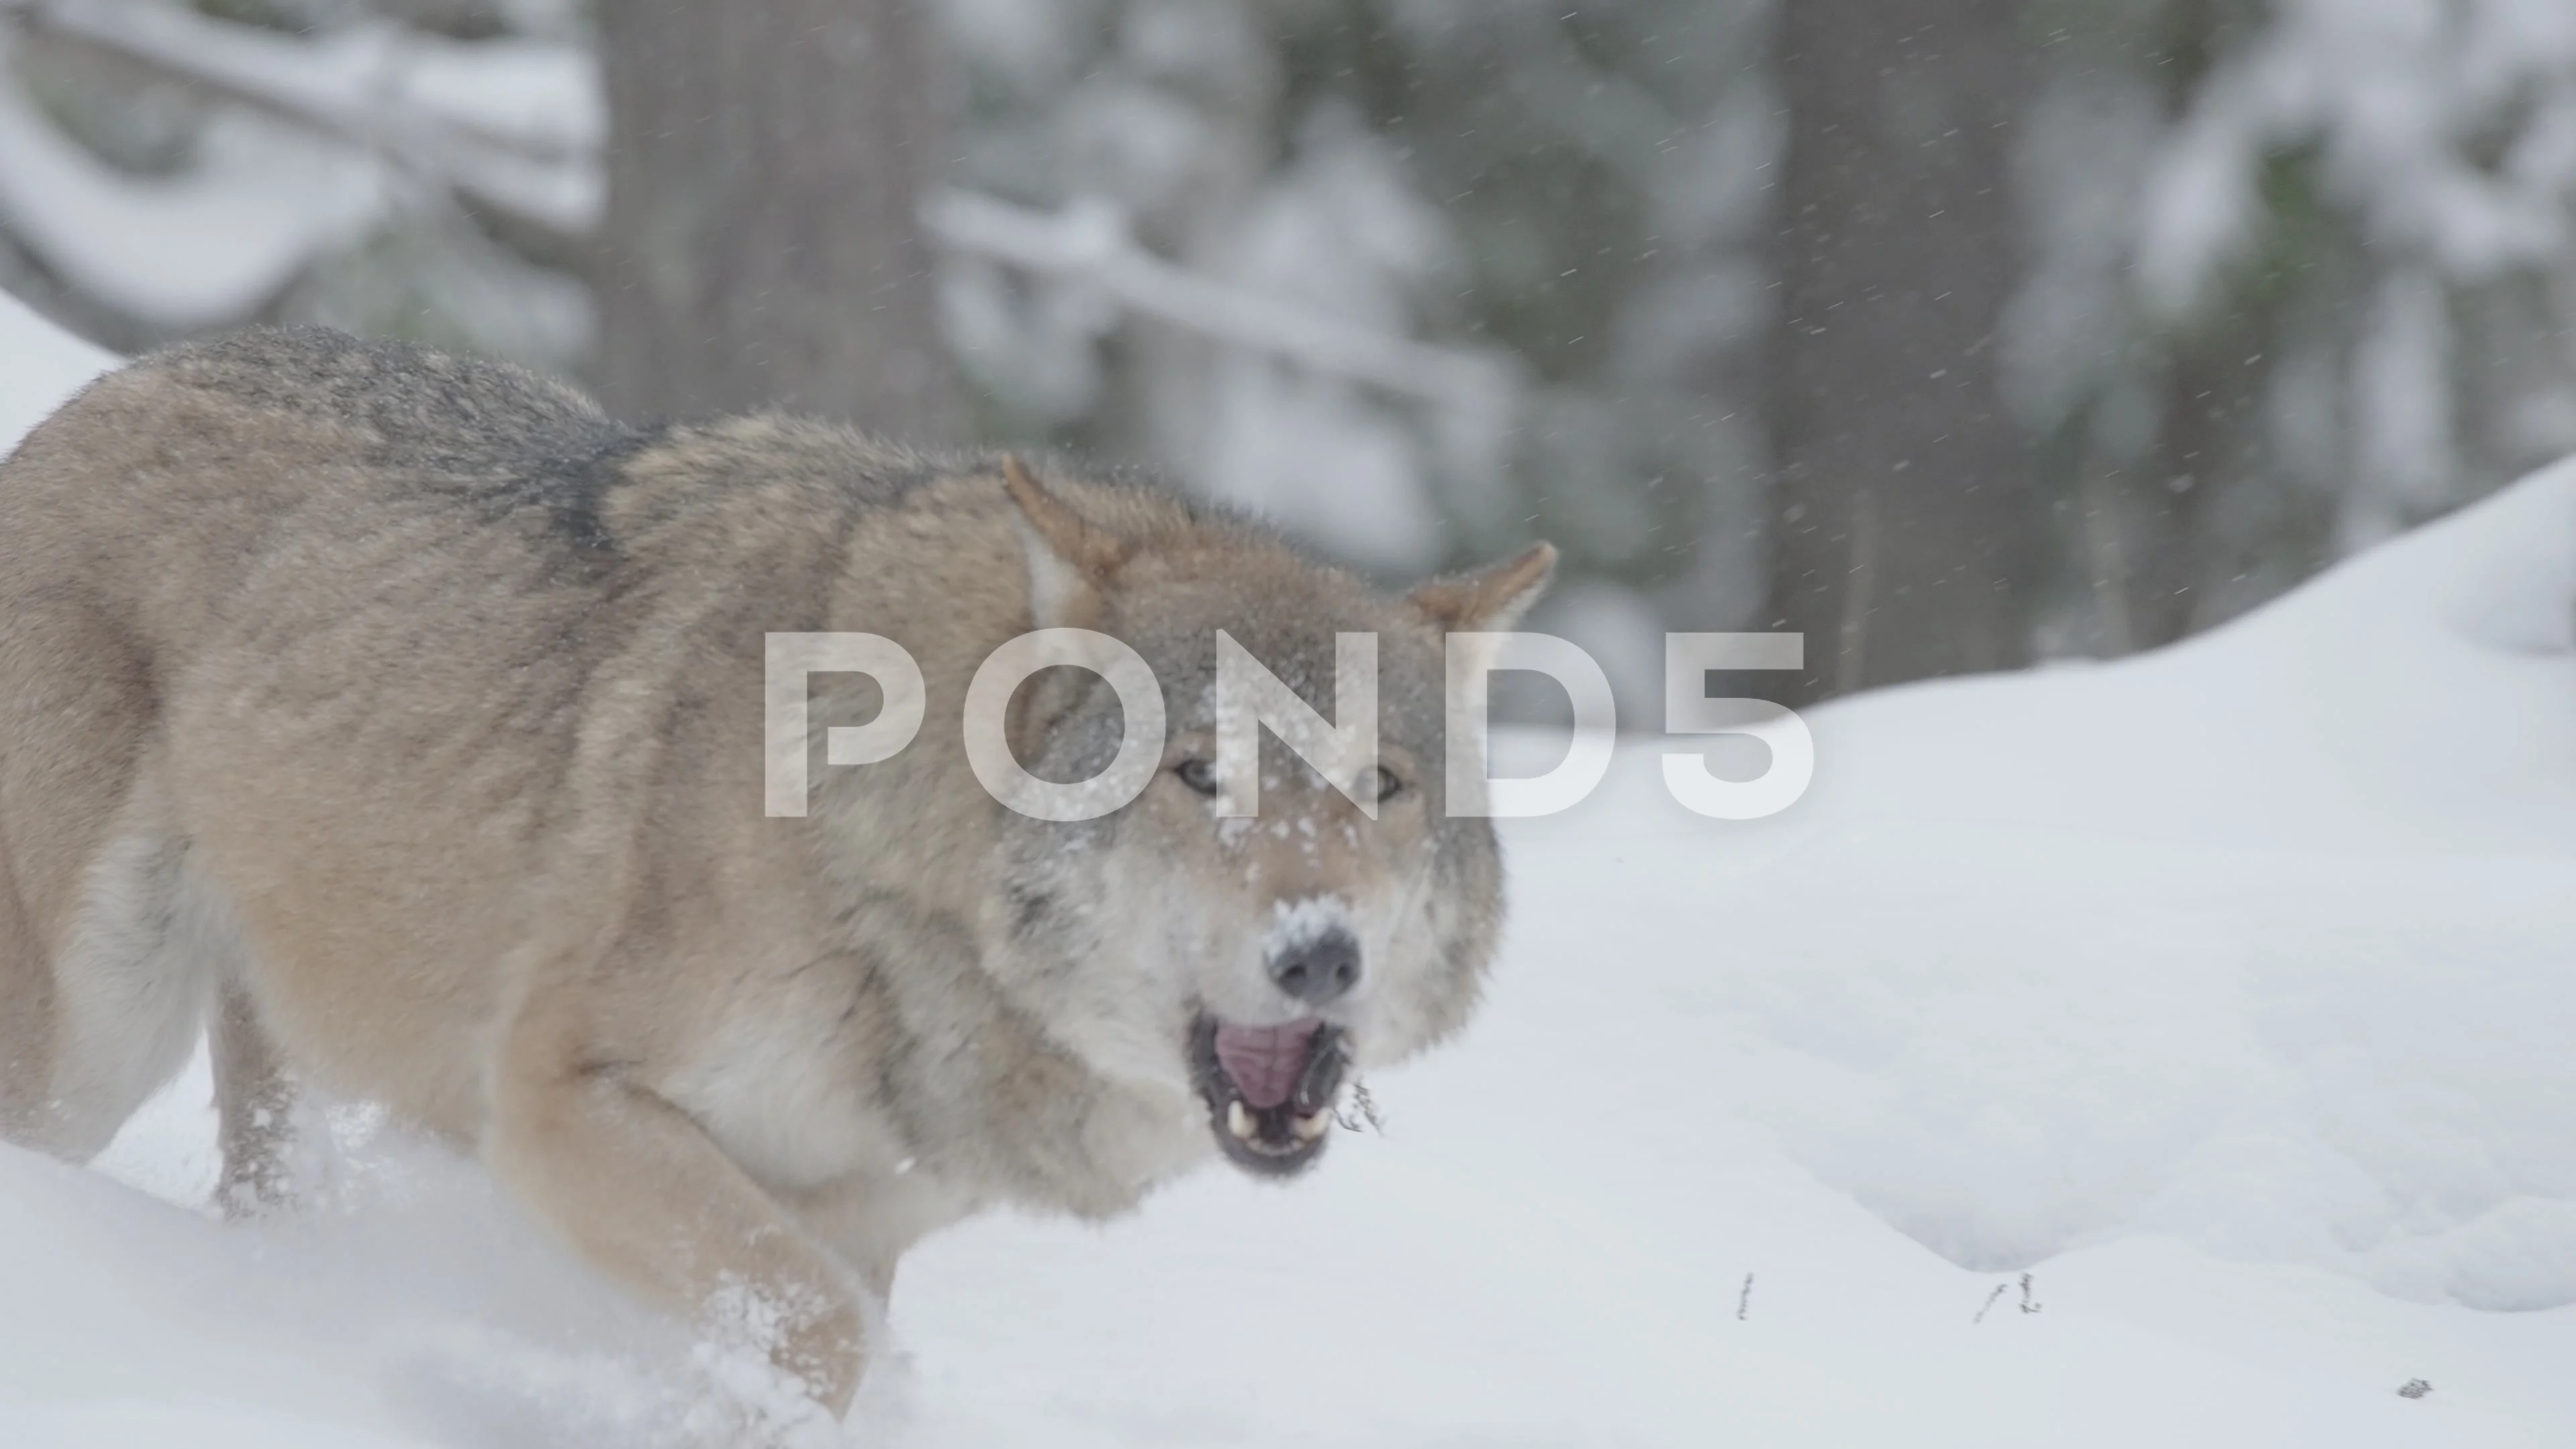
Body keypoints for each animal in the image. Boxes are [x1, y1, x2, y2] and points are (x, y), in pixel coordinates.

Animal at [0, 328, 1550, 1412]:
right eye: (1198, 776)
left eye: (1383, 786)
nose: (1320, 953)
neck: (887, 890)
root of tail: (81, 404)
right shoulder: (558, 1103)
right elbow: (814, 1336)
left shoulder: (857, 1222)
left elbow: (819, 1332)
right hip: (90, 1050)